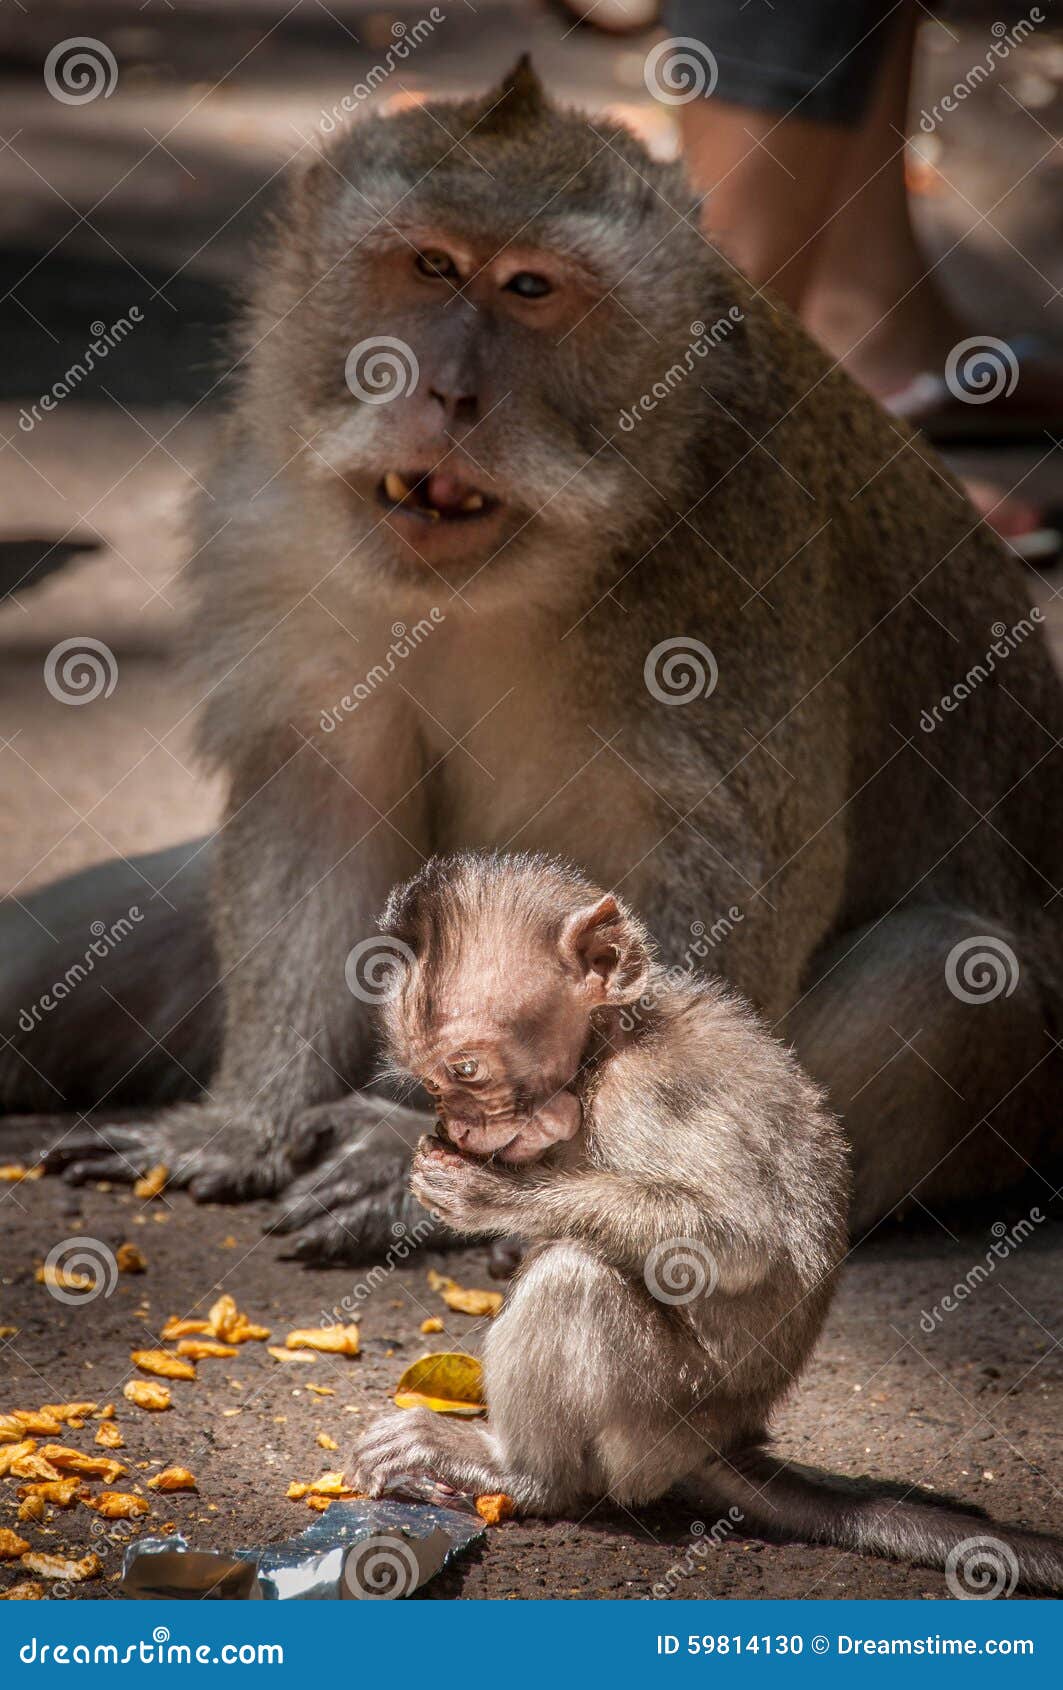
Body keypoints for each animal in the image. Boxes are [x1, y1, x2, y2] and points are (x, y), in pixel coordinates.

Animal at [5, 58, 1062, 1263]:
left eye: (529, 289)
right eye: (429, 266)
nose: (448, 393)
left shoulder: (738, 558)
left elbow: (730, 882)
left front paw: (399, 1165)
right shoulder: (278, 528)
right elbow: (321, 801)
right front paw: (243, 1124)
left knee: (943, 986)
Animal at [352, 851, 1063, 1594]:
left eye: (468, 1070)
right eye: (434, 1083)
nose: (460, 1126)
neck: (612, 1046)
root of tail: (723, 1437)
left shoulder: (647, 1094)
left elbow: (737, 1240)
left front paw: (490, 1194)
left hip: (657, 1423)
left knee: (575, 1277)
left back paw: (525, 1475)